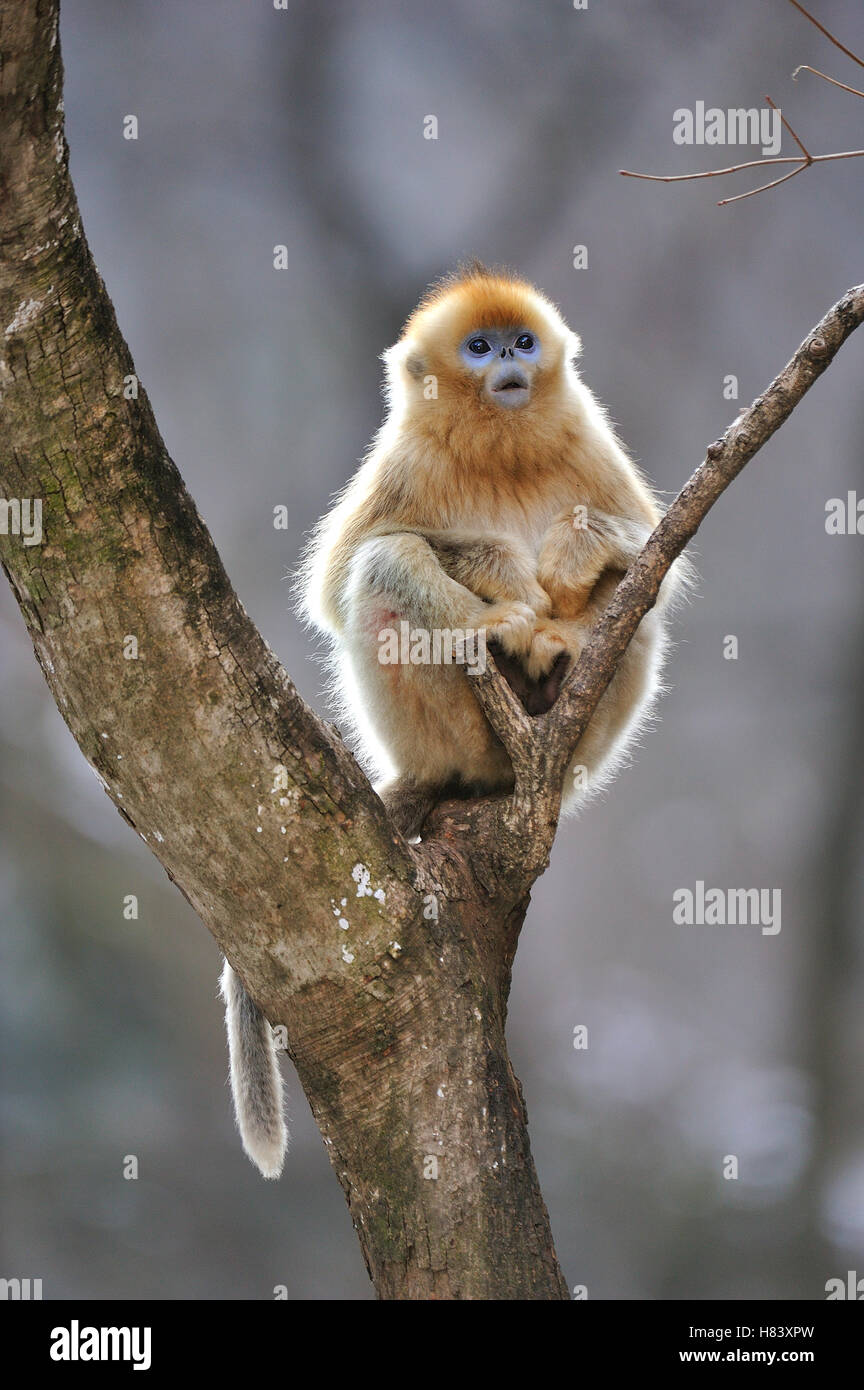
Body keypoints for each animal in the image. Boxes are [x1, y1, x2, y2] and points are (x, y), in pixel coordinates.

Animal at [221, 264, 689, 1177]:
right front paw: (504, 585)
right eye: (479, 347)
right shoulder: (405, 458)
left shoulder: (590, 434)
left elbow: (658, 558)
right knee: (382, 566)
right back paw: (499, 644)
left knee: (636, 601)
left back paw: (561, 653)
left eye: (522, 341)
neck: (498, 444)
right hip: (442, 738)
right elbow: (341, 581)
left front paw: (569, 558)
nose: (508, 361)